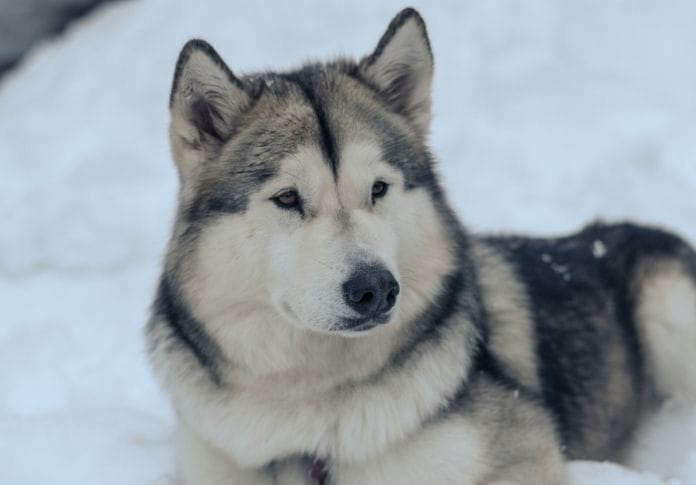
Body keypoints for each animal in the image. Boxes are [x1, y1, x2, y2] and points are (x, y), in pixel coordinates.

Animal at [146, 8, 696, 484]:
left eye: (378, 189)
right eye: (287, 198)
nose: (375, 289)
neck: (316, 419)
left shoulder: (524, 456)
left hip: (669, 310)